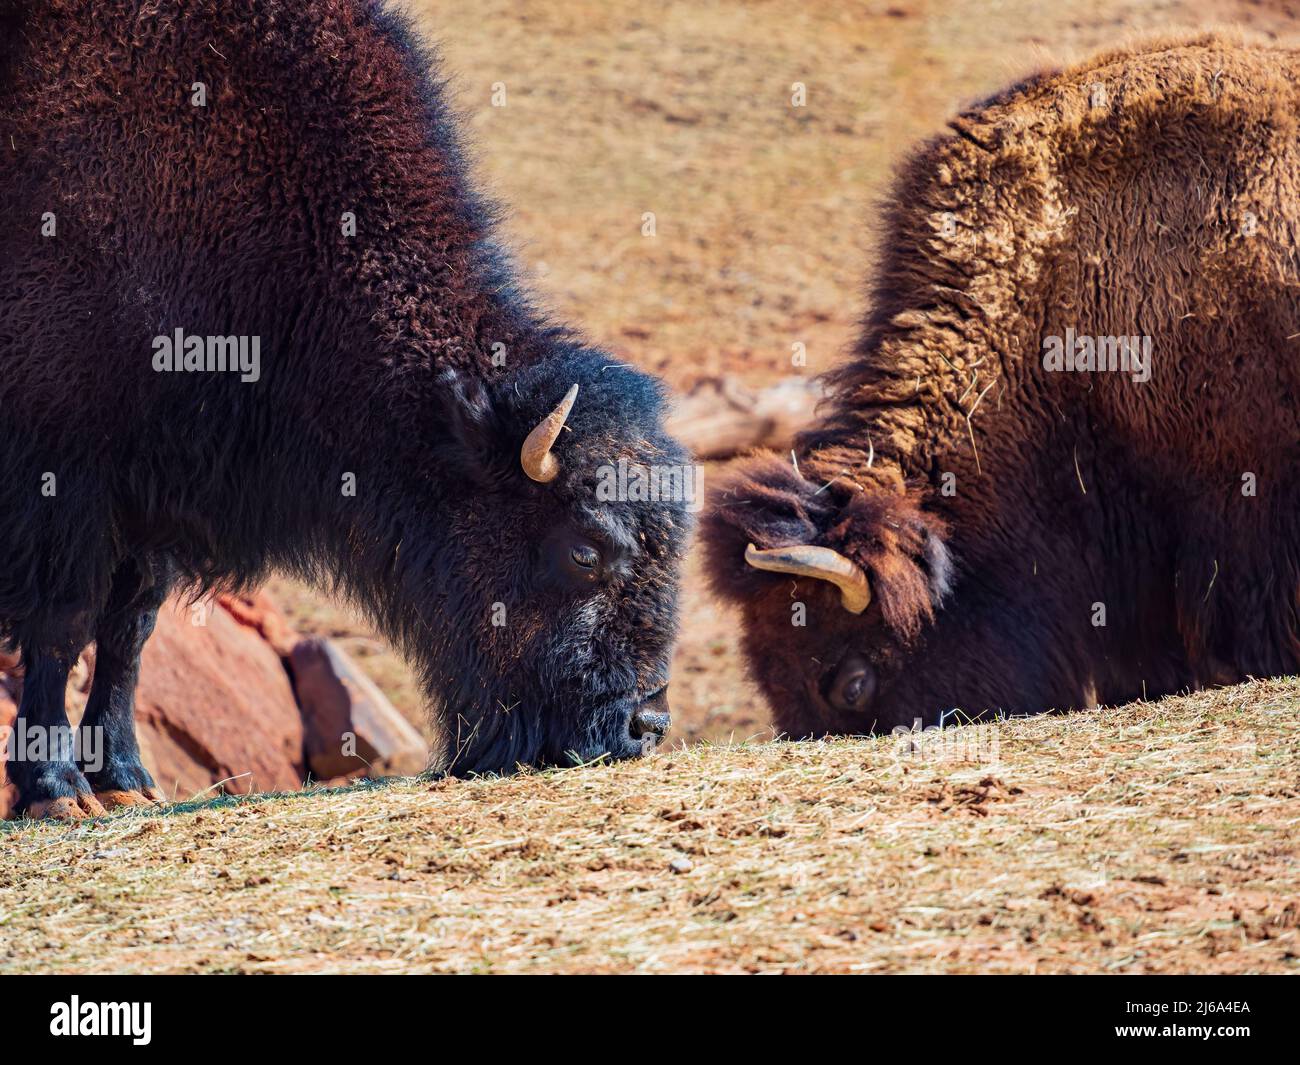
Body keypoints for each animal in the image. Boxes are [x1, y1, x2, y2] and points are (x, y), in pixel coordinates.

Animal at [0, 0, 689, 818]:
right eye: (583, 551)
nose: (646, 725)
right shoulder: (64, 471)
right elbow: (63, 621)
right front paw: (57, 791)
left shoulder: (153, 495)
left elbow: (128, 626)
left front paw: (128, 782)